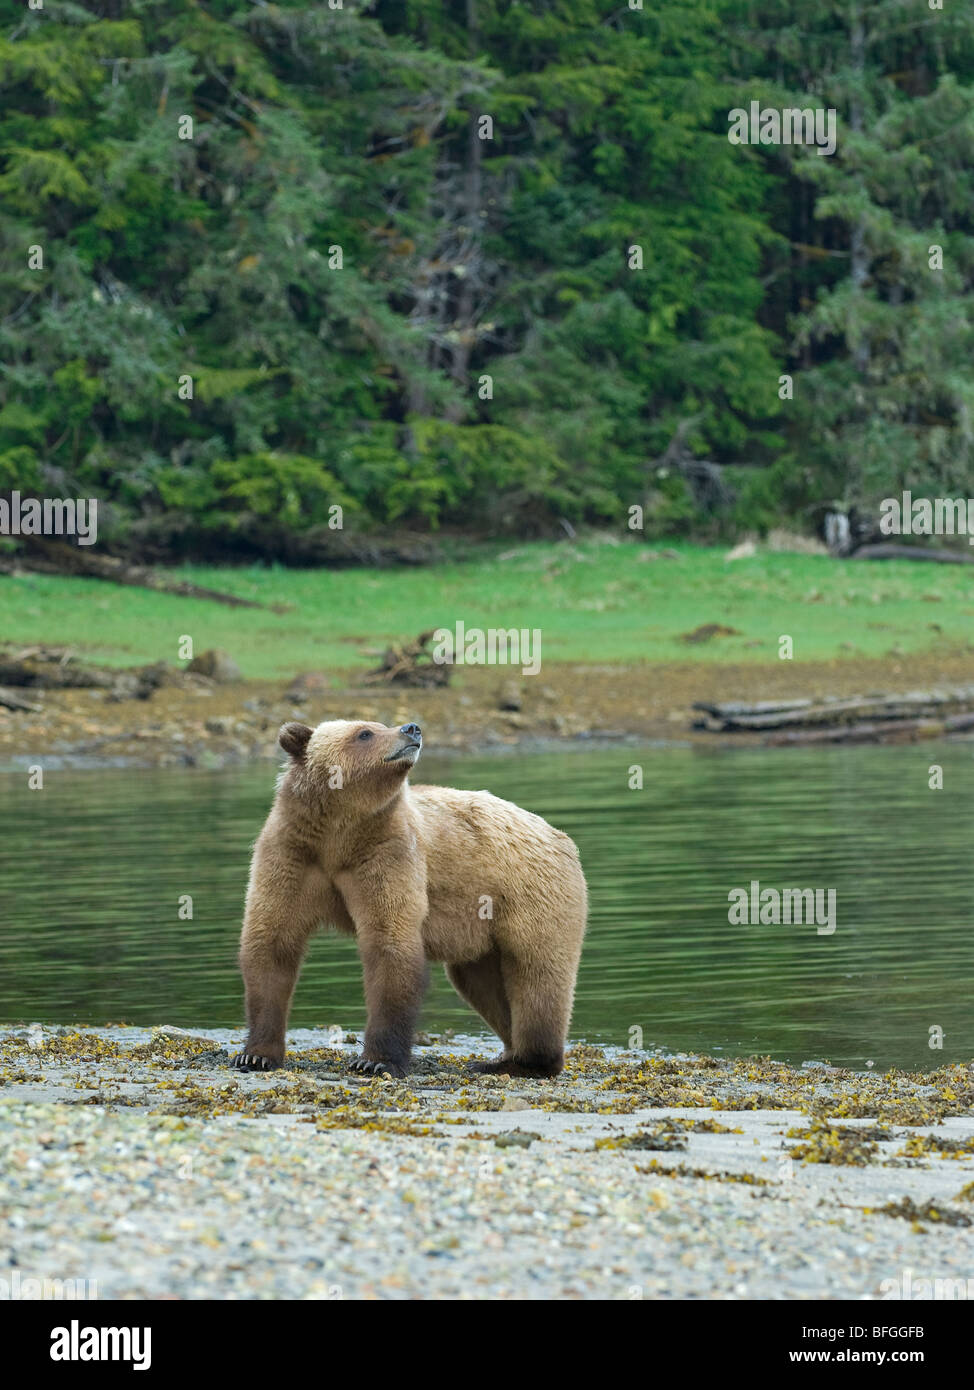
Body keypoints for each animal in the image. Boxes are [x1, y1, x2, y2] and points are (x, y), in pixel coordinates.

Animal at [231, 718, 587, 1078]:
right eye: (365, 732)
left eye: (377, 726)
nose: (411, 728)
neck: (338, 833)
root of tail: (558, 834)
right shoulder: (293, 852)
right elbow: (272, 941)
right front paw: (254, 1055)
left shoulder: (388, 850)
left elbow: (390, 944)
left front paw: (374, 1060)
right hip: (481, 931)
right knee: (483, 985)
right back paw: (503, 1057)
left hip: (532, 893)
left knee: (537, 977)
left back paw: (526, 1061)